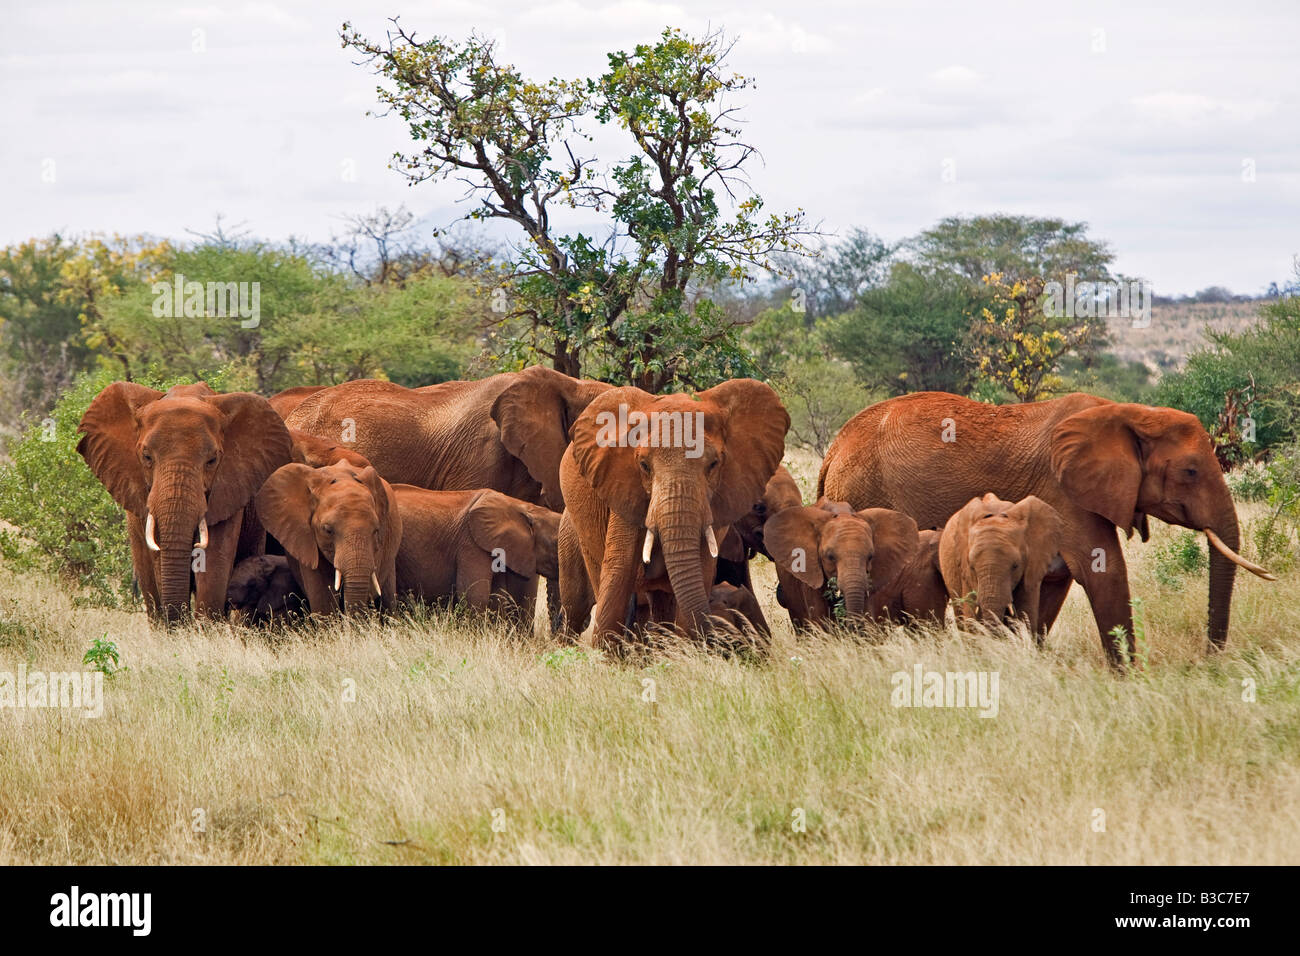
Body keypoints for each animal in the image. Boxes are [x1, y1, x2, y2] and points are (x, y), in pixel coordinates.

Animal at [559, 379, 789, 648]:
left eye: (714, 465)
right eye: (644, 466)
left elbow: (699, 570)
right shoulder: (623, 489)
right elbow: (618, 570)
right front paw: (609, 654)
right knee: (576, 607)